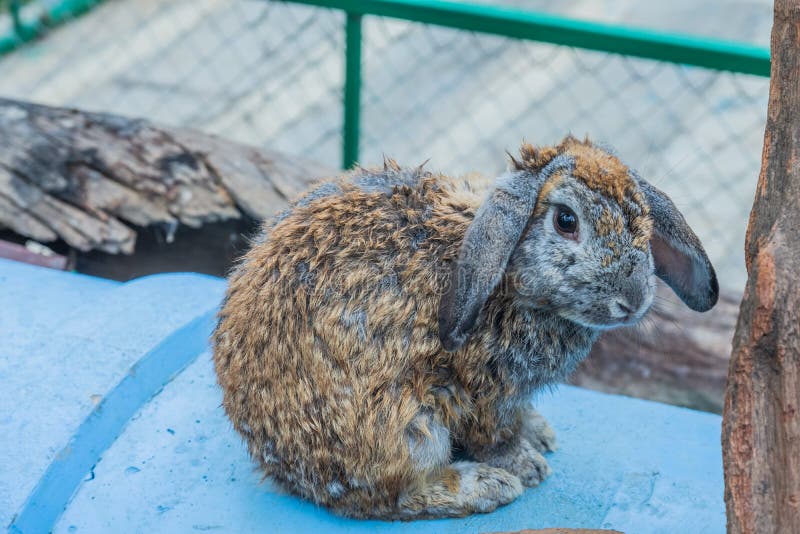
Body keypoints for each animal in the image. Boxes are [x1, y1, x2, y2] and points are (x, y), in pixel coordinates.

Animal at [213, 136, 718, 520]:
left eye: (644, 221)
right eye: (566, 221)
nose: (632, 301)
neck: (509, 276)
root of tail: (276, 459)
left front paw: (540, 434)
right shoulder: (486, 393)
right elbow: (496, 436)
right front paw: (527, 465)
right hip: (408, 428)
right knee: (393, 499)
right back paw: (490, 485)